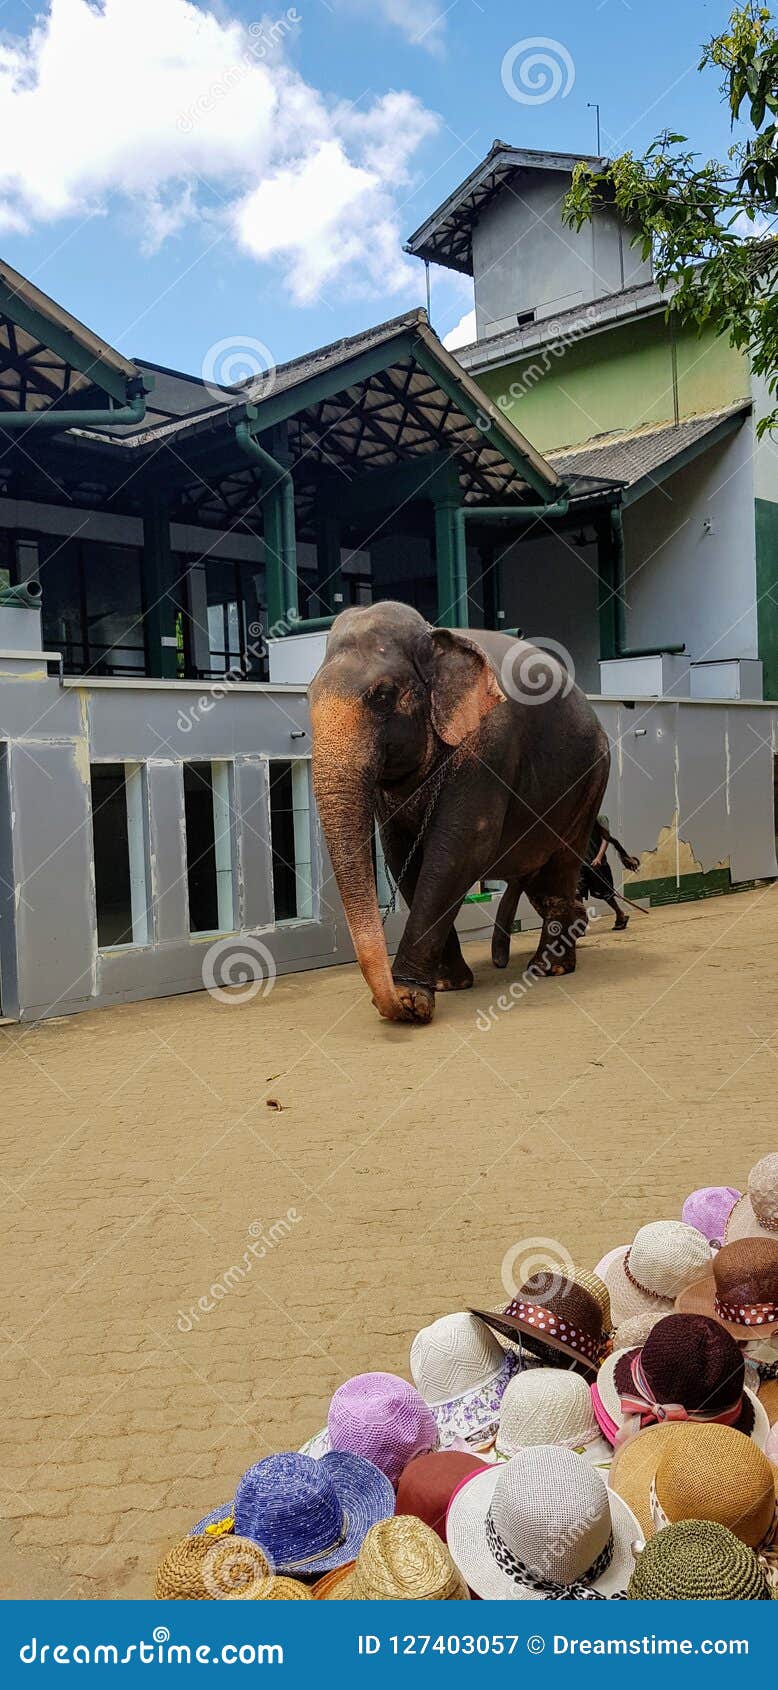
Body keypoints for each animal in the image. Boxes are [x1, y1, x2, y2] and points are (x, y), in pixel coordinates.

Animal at [309, 601, 610, 1025]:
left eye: (382, 695)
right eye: (307, 695)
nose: (387, 1003)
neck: (434, 635)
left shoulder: (488, 751)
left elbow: (459, 850)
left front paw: (412, 999)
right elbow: (403, 856)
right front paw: (445, 985)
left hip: (592, 777)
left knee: (562, 861)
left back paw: (548, 967)